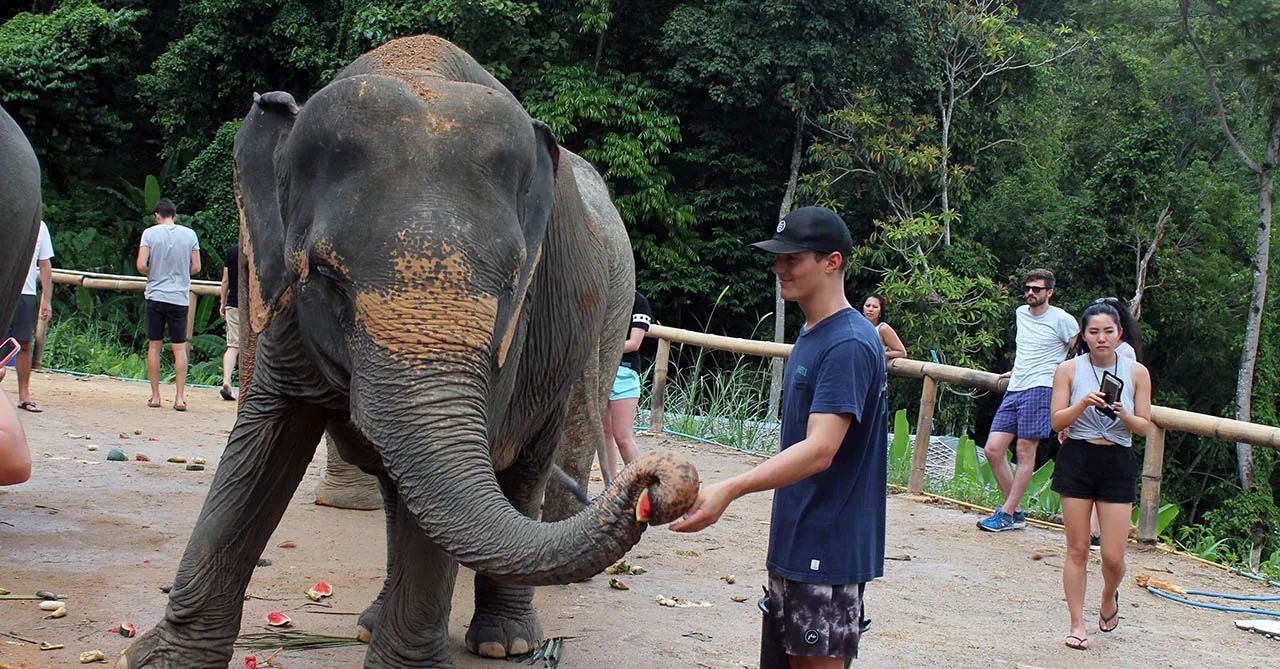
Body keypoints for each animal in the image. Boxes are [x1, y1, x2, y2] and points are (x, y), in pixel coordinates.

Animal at [118, 35, 698, 669]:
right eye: (325, 276)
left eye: (513, 279)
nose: (658, 484)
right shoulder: (288, 311)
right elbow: (261, 444)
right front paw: (158, 660)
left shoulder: (511, 336)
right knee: (406, 492)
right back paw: (374, 625)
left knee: (523, 466)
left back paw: (507, 643)